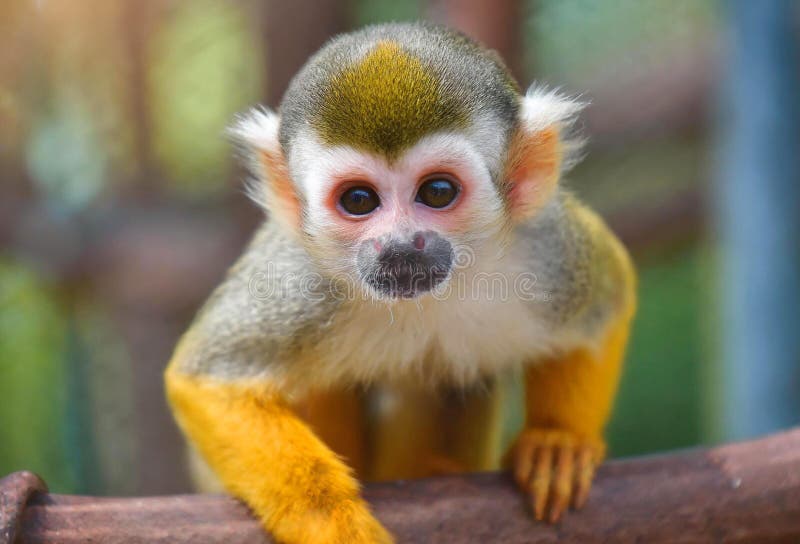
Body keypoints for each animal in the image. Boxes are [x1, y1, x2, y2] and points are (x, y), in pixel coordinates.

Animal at [165, 22, 636, 544]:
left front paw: (558, 439)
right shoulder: (297, 285)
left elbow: (609, 297)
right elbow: (207, 377)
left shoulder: (545, 252)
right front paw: (330, 519)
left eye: (438, 191)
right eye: (358, 200)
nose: (399, 246)